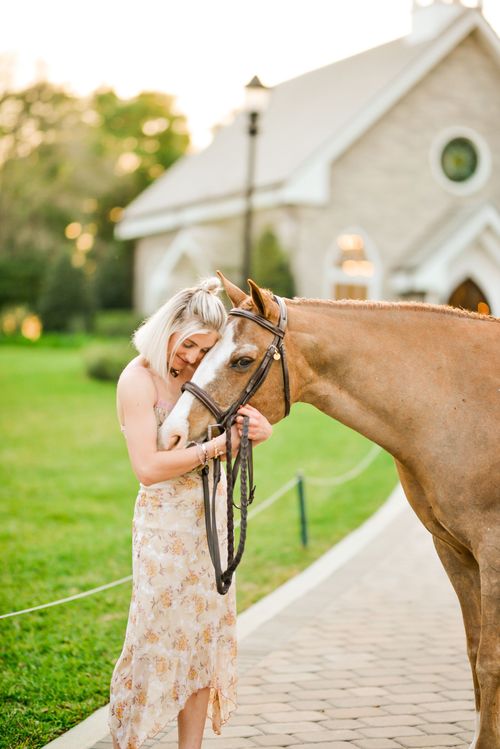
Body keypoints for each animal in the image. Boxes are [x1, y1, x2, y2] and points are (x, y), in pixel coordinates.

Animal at [161, 273, 500, 749]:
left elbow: (490, 660)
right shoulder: (454, 550)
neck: (463, 403)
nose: (171, 436)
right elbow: (473, 651)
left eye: (242, 361)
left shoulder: (492, 551)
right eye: (204, 352)